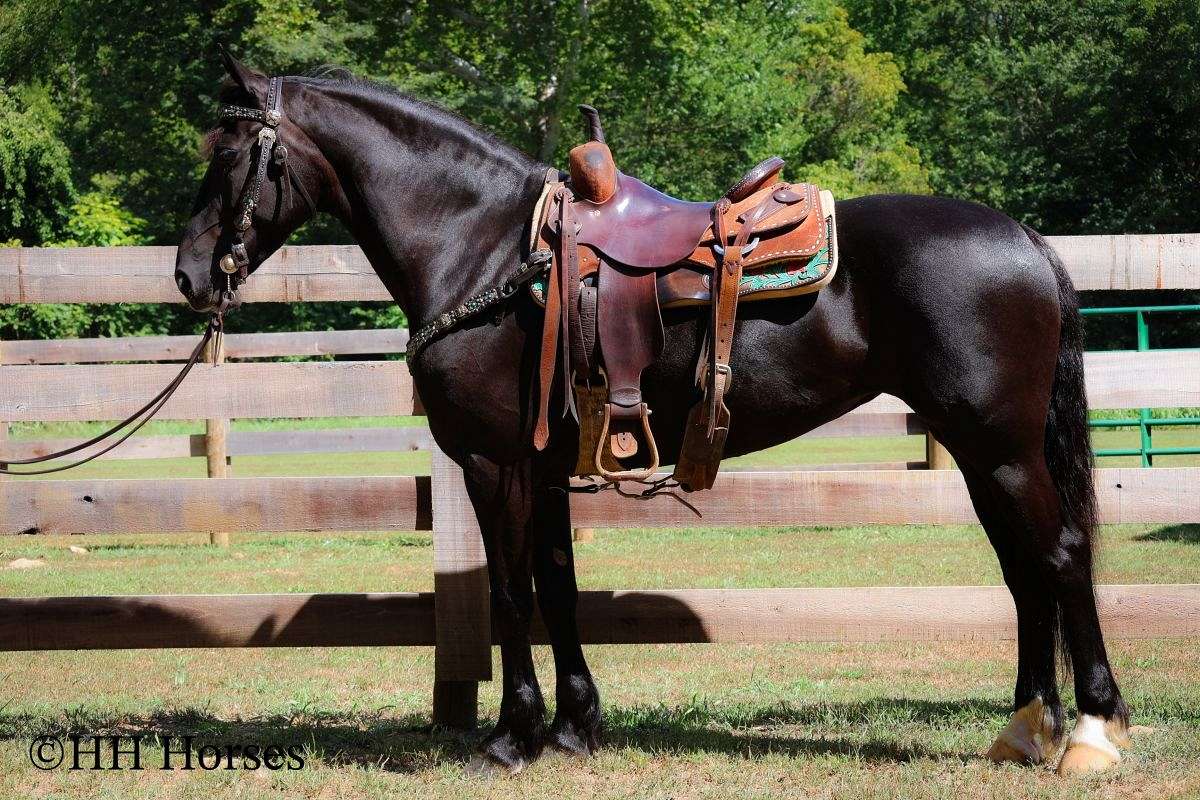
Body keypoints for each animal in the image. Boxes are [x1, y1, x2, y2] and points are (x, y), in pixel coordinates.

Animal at [175, 51, 1130, 776]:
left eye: (228, 154)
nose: (187, 275)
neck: (483, 247)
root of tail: (1023, 239)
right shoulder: (545, 466)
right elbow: (557, 586)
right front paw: (574, 726)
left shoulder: (492, 461)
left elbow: (511, 593)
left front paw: (511, 737)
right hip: (980, 452)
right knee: (1022, 572)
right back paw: (1023, 729)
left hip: (1000, 447)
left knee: (1058, 555)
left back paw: (1088, 732)